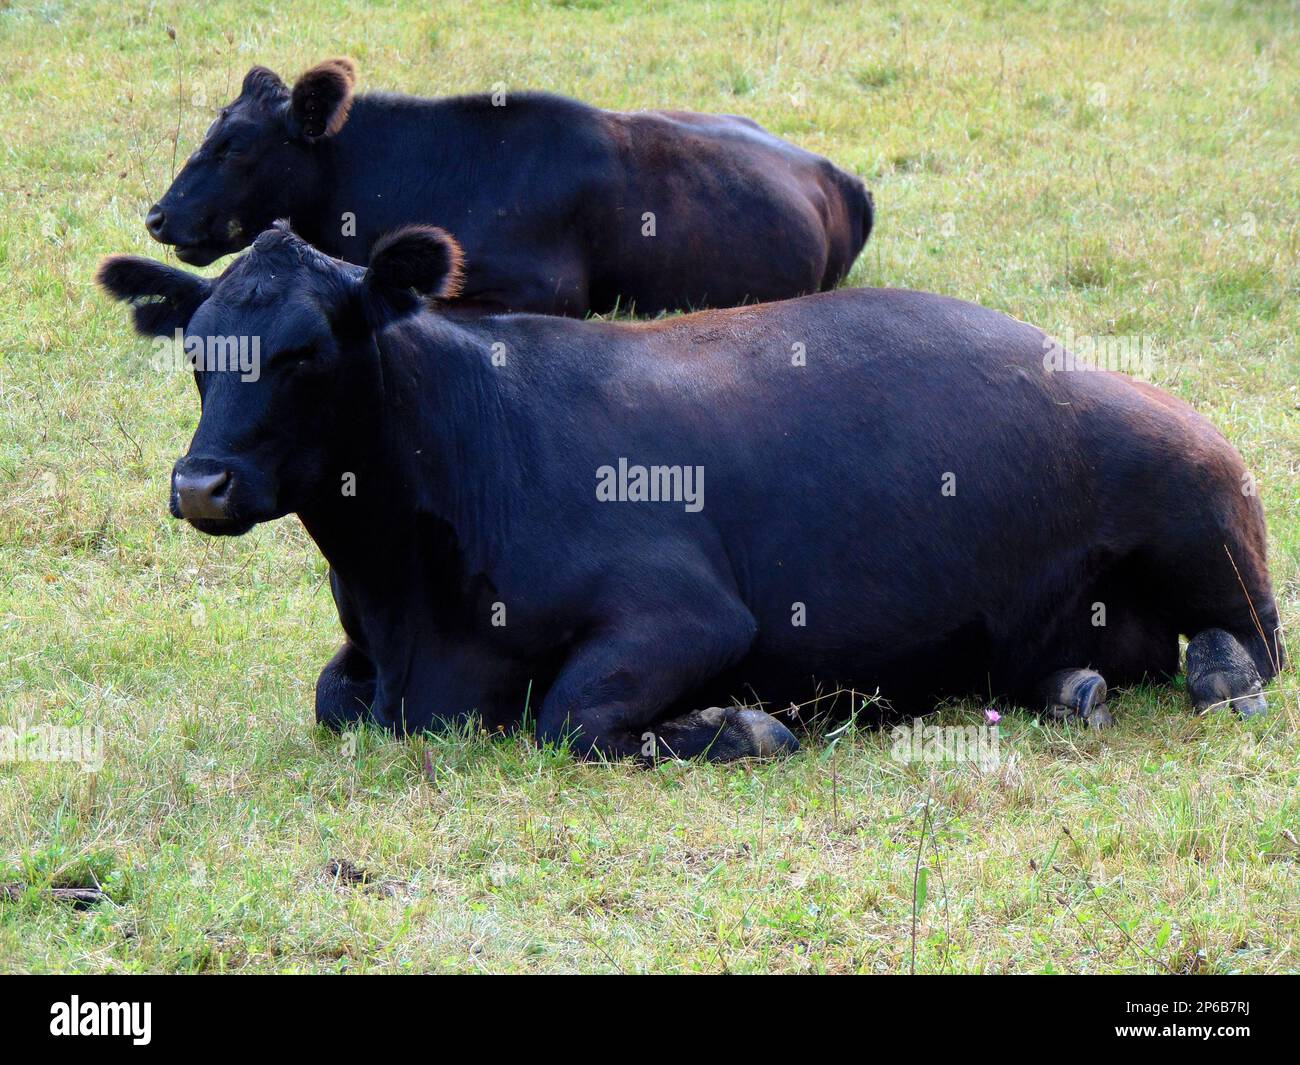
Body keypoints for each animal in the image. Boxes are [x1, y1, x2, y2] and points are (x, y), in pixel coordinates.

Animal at [97, 224, 1284, 761]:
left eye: (306, 351)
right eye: (198, 352)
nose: (202, 483)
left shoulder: (687, 612)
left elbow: (569, 718)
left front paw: (738, 726)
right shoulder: (368, 663)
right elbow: (329, 696)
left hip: (1195, 501)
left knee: (1255, 643)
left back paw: (1218, 672)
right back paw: (1070, 685)